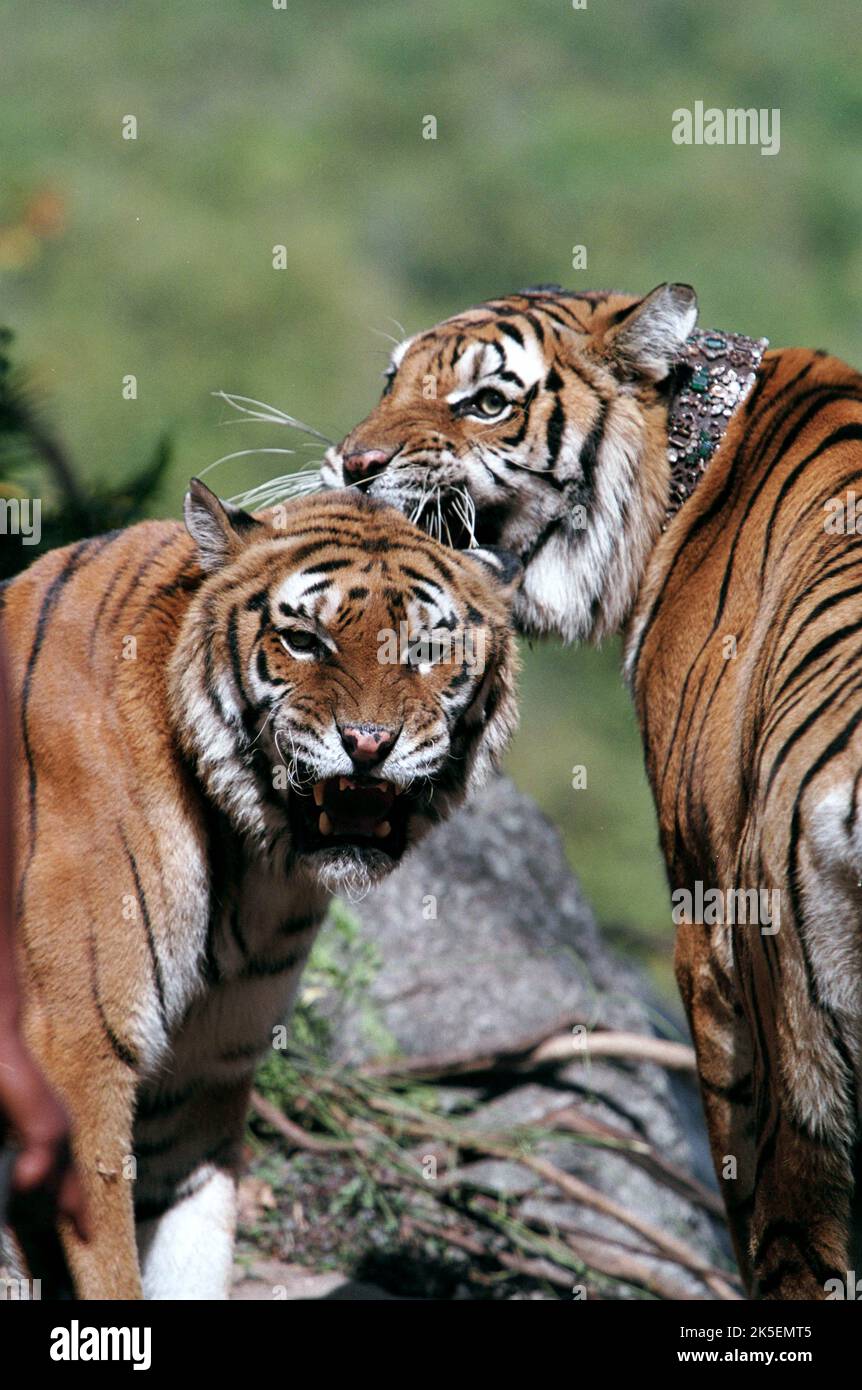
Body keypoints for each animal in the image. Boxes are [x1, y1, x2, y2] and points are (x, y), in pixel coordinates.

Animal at [0, 480, 520, 1299]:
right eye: (304, 641)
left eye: (427, 651)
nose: (369, 744)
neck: (251, 856)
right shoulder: (73, 1054)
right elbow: (110, 1267)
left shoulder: (200, 1075)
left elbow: (188, 1249)